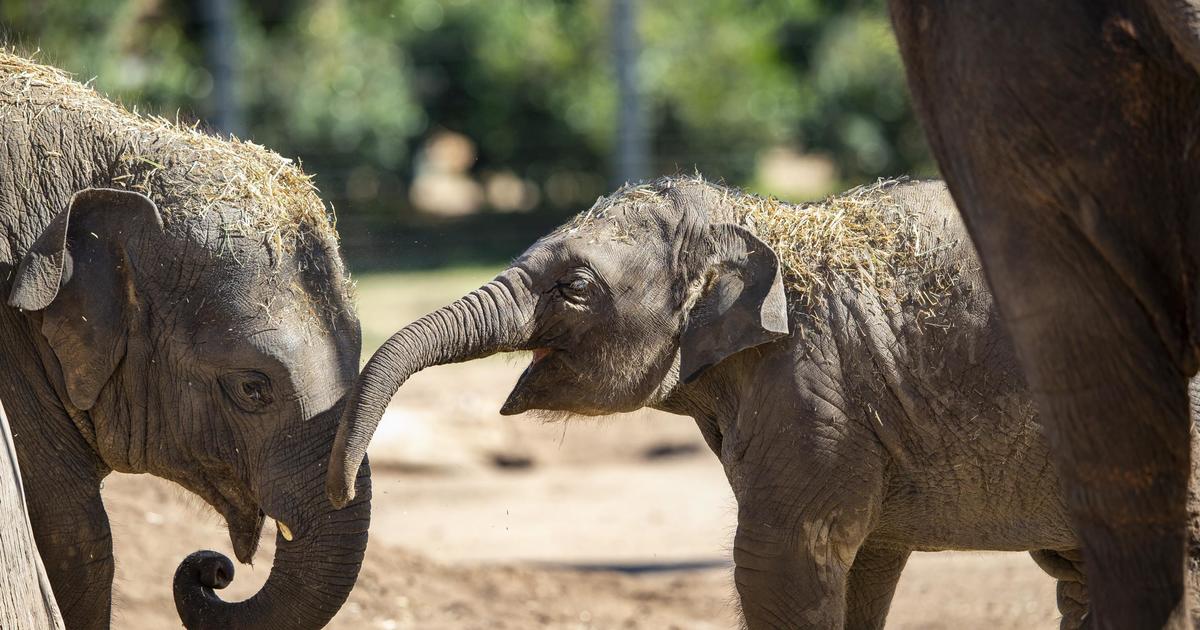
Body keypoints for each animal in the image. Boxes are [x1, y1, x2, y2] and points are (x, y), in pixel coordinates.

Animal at [326, 174, 1095, 629]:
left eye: (575, 286)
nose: (339, 490)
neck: (764, 224)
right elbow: (868, 560)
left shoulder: (812, 389)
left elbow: (785, 557)